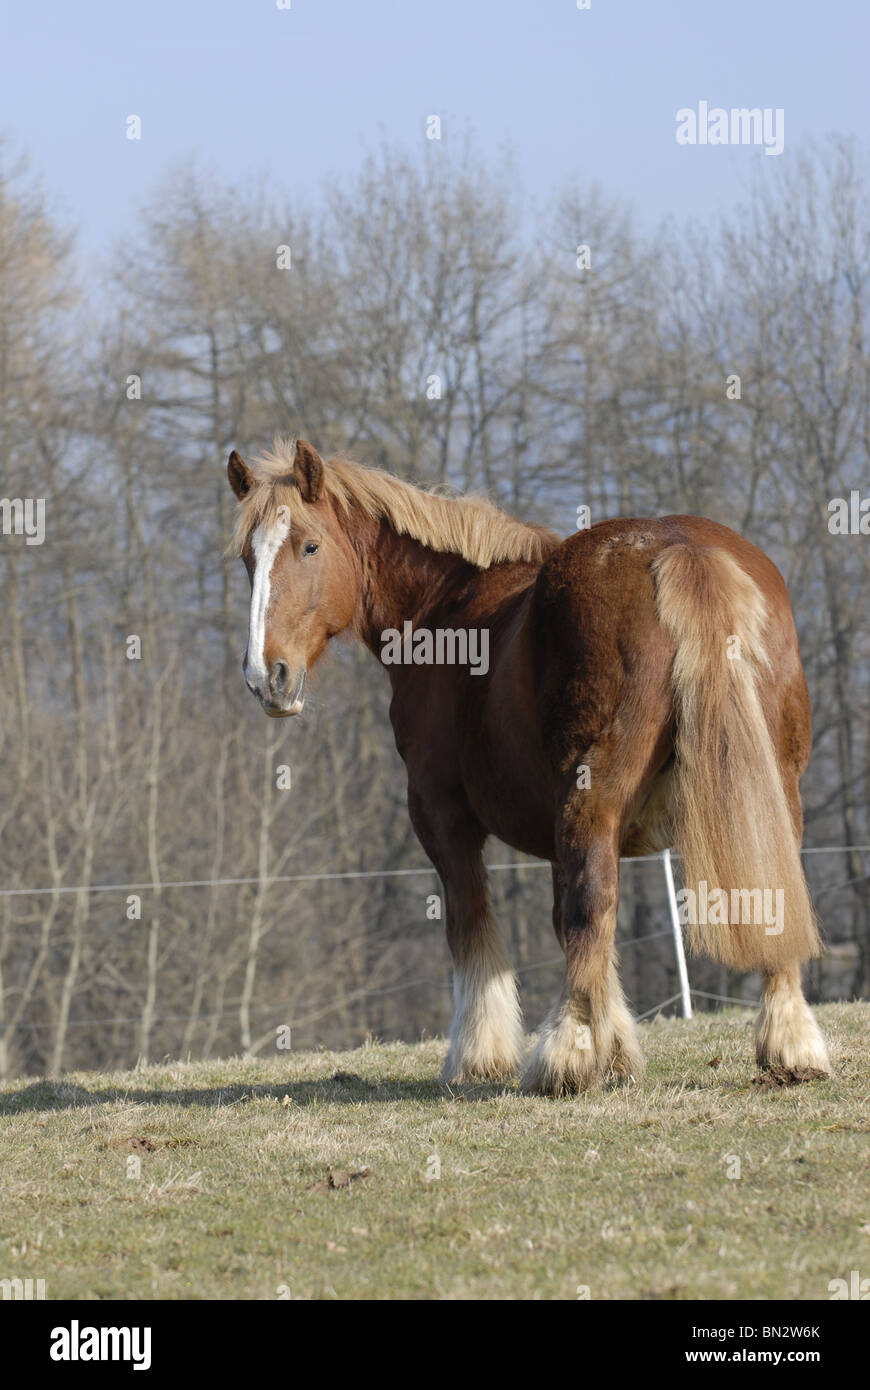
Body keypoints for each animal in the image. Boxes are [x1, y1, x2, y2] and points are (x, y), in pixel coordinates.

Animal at [226, 437, 830, 1095]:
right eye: (248, 559)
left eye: (309, 546)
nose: (265, 677)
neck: (444, 607)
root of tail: (682, 551)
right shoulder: (556, 829)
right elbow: (566, 922)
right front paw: (615, 1050)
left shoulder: (442, 816)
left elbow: (475, 923)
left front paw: (482, 1054)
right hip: (770, 794)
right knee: (769, 891)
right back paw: (790, 1044)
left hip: (593, 797)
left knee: (593, 905)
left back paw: (563, 1058)